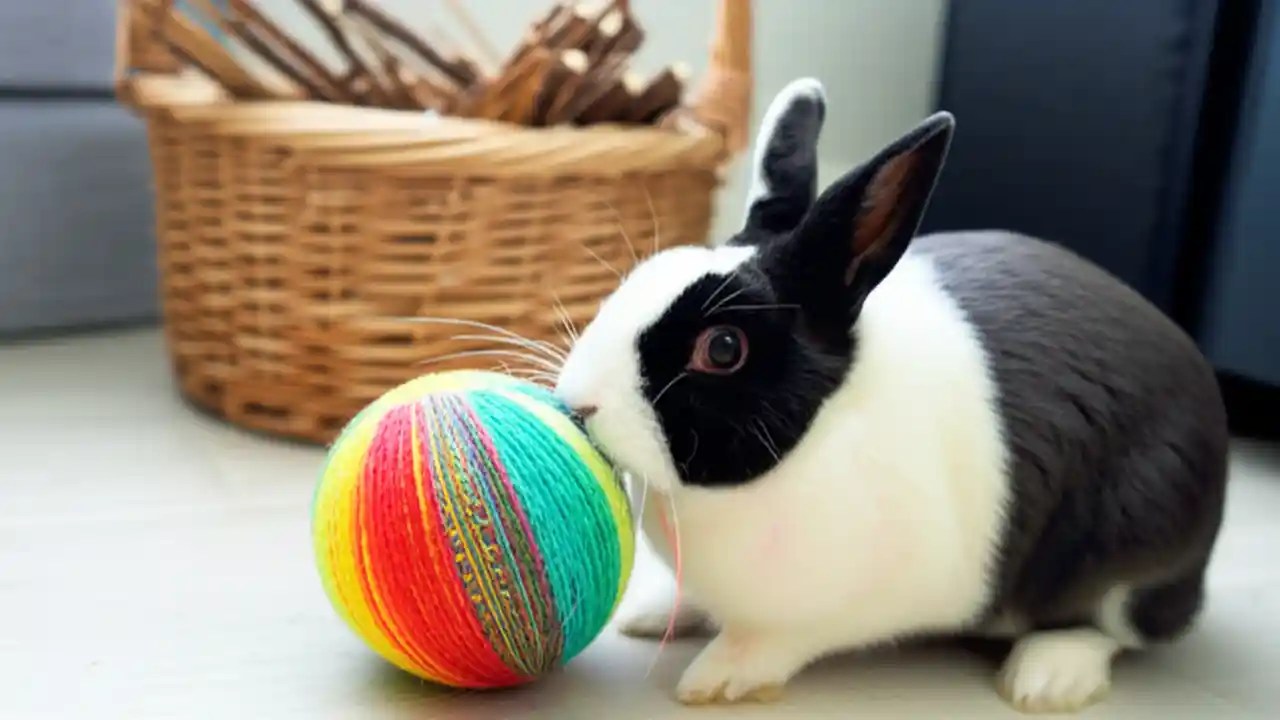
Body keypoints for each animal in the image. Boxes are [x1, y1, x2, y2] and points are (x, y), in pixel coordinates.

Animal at [553, 78, 1229, 713]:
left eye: (722, 349)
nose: (579, 402)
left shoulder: (836, 608)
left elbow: (770, 642)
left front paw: (716, 678)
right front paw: (655, 612)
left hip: (1133, 544)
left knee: (1118, 627)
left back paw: (1046, 679)